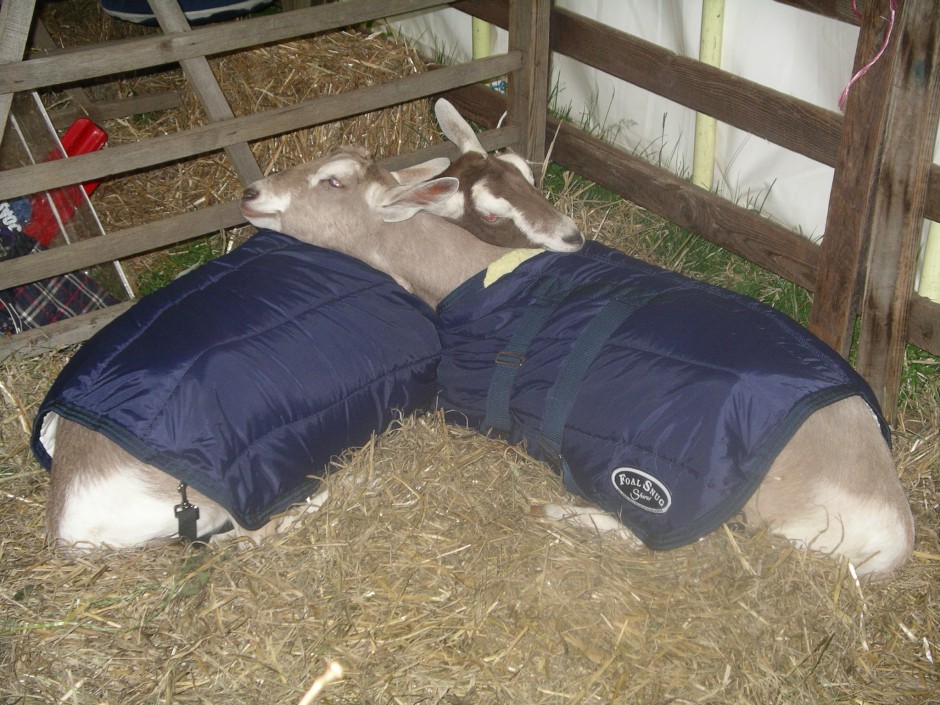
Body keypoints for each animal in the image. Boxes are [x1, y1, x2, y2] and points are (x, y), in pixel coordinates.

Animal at [239, 147, 913, 580]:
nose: (250, 192)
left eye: (333, 182)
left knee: (654, 539)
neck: (474, 272)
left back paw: (562, 512)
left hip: (711, 502)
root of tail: (893, 530)